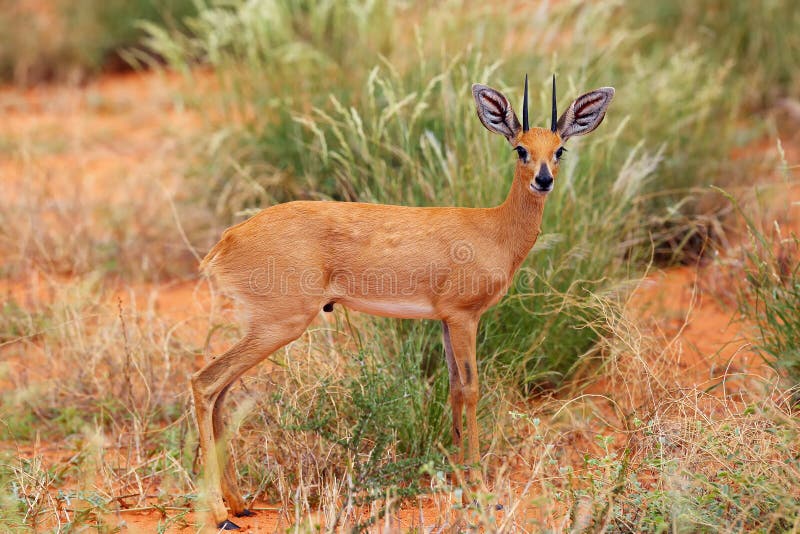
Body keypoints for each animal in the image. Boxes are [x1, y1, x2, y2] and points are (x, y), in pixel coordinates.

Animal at [193, 74, 614, 529]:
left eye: (559, 149)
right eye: (521, 149)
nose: (544, 179)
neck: (495, 230)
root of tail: (227, 239)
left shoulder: (446, 320)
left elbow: (453, 388)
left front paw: (460, 480)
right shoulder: (464, 317)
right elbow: (472, 389)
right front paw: (480, 489)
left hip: (262, 326)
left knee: (220, 392)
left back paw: (239, 503)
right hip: (280, 324)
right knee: (205, 382)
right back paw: (219, 513)